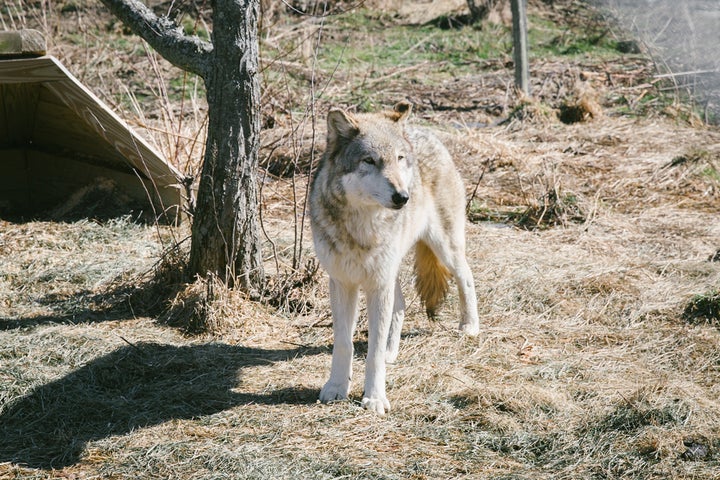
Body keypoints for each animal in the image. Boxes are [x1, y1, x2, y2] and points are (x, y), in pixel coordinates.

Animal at [309, 101, 480, 415]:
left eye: (399, 159)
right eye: (369, 161)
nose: (403, 197)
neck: (362, 228)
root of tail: (425, 131)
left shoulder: (377, 282)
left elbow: (373, 352)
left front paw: (374, 398)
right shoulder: (343, 282)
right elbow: (344, 342)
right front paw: (336, 387)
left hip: (444, 246)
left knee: (466, 277)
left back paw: (469, 327)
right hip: (392, 271)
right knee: (399, 305)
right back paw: (392, 350)